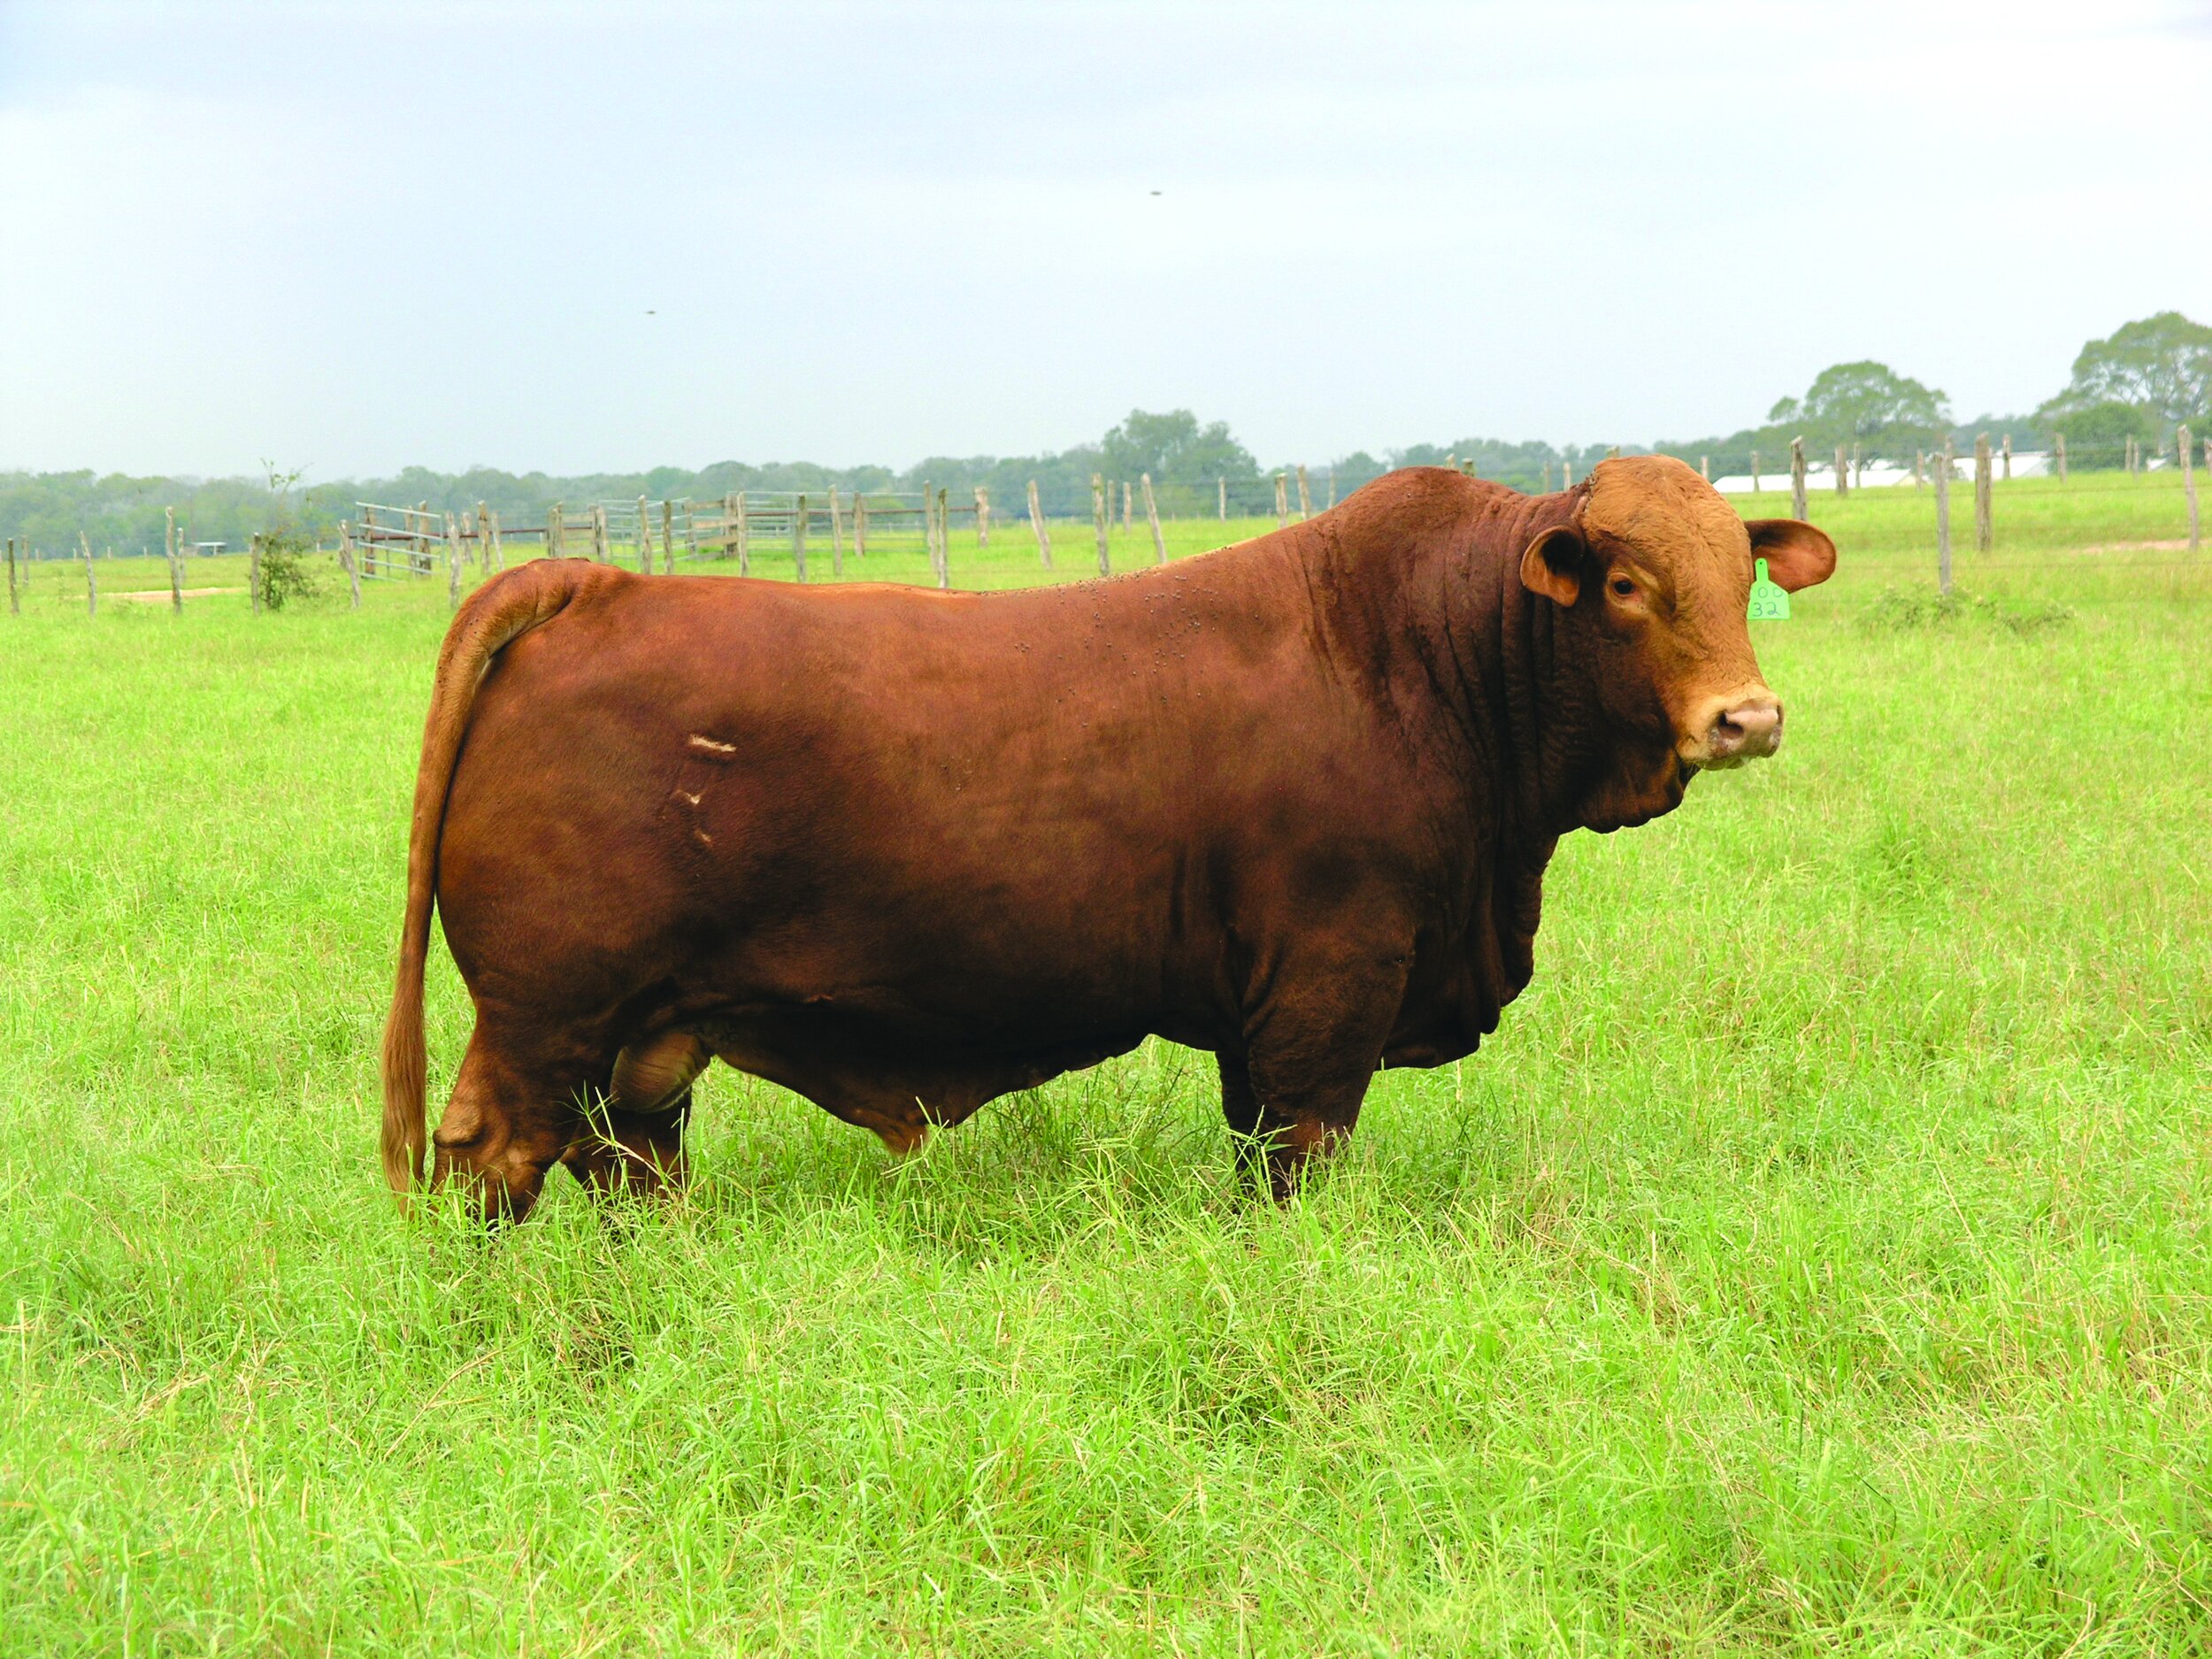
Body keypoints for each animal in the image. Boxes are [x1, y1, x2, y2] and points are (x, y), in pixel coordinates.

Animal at [381, 457, 1835, 1219]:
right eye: (1630, 585)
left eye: (1737, 575)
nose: (1748, 716)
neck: (1429, 657)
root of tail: (601, 581)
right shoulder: (1331, 983)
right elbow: (1298, 1158)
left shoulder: (1262, 1016)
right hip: (547, 1012)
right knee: (491, 1158)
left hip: (645, 1034)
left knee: (630, 1158)